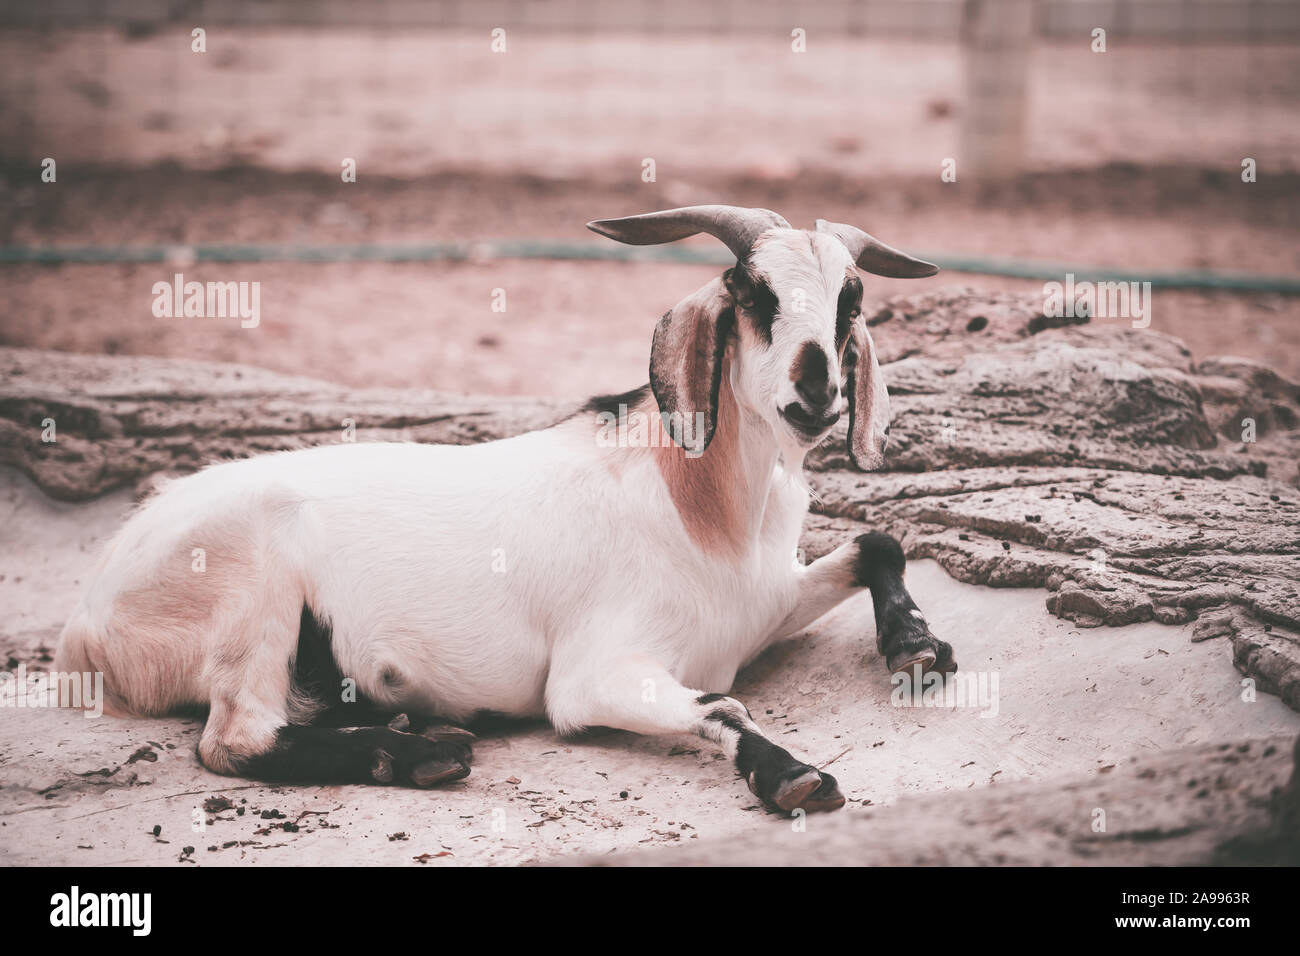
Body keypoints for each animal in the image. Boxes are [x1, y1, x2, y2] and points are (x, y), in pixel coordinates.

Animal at [56, 205, 956, 814]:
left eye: (849, 300)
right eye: (752, 293)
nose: (817, 394)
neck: (702, 510)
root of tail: (87, 622)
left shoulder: (768, 603)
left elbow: (877, 541)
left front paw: (917, 646)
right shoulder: (593, 674)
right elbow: (717, 705)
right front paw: (793, 774)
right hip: (253, 594)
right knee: (234, 739)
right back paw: (420, 754)